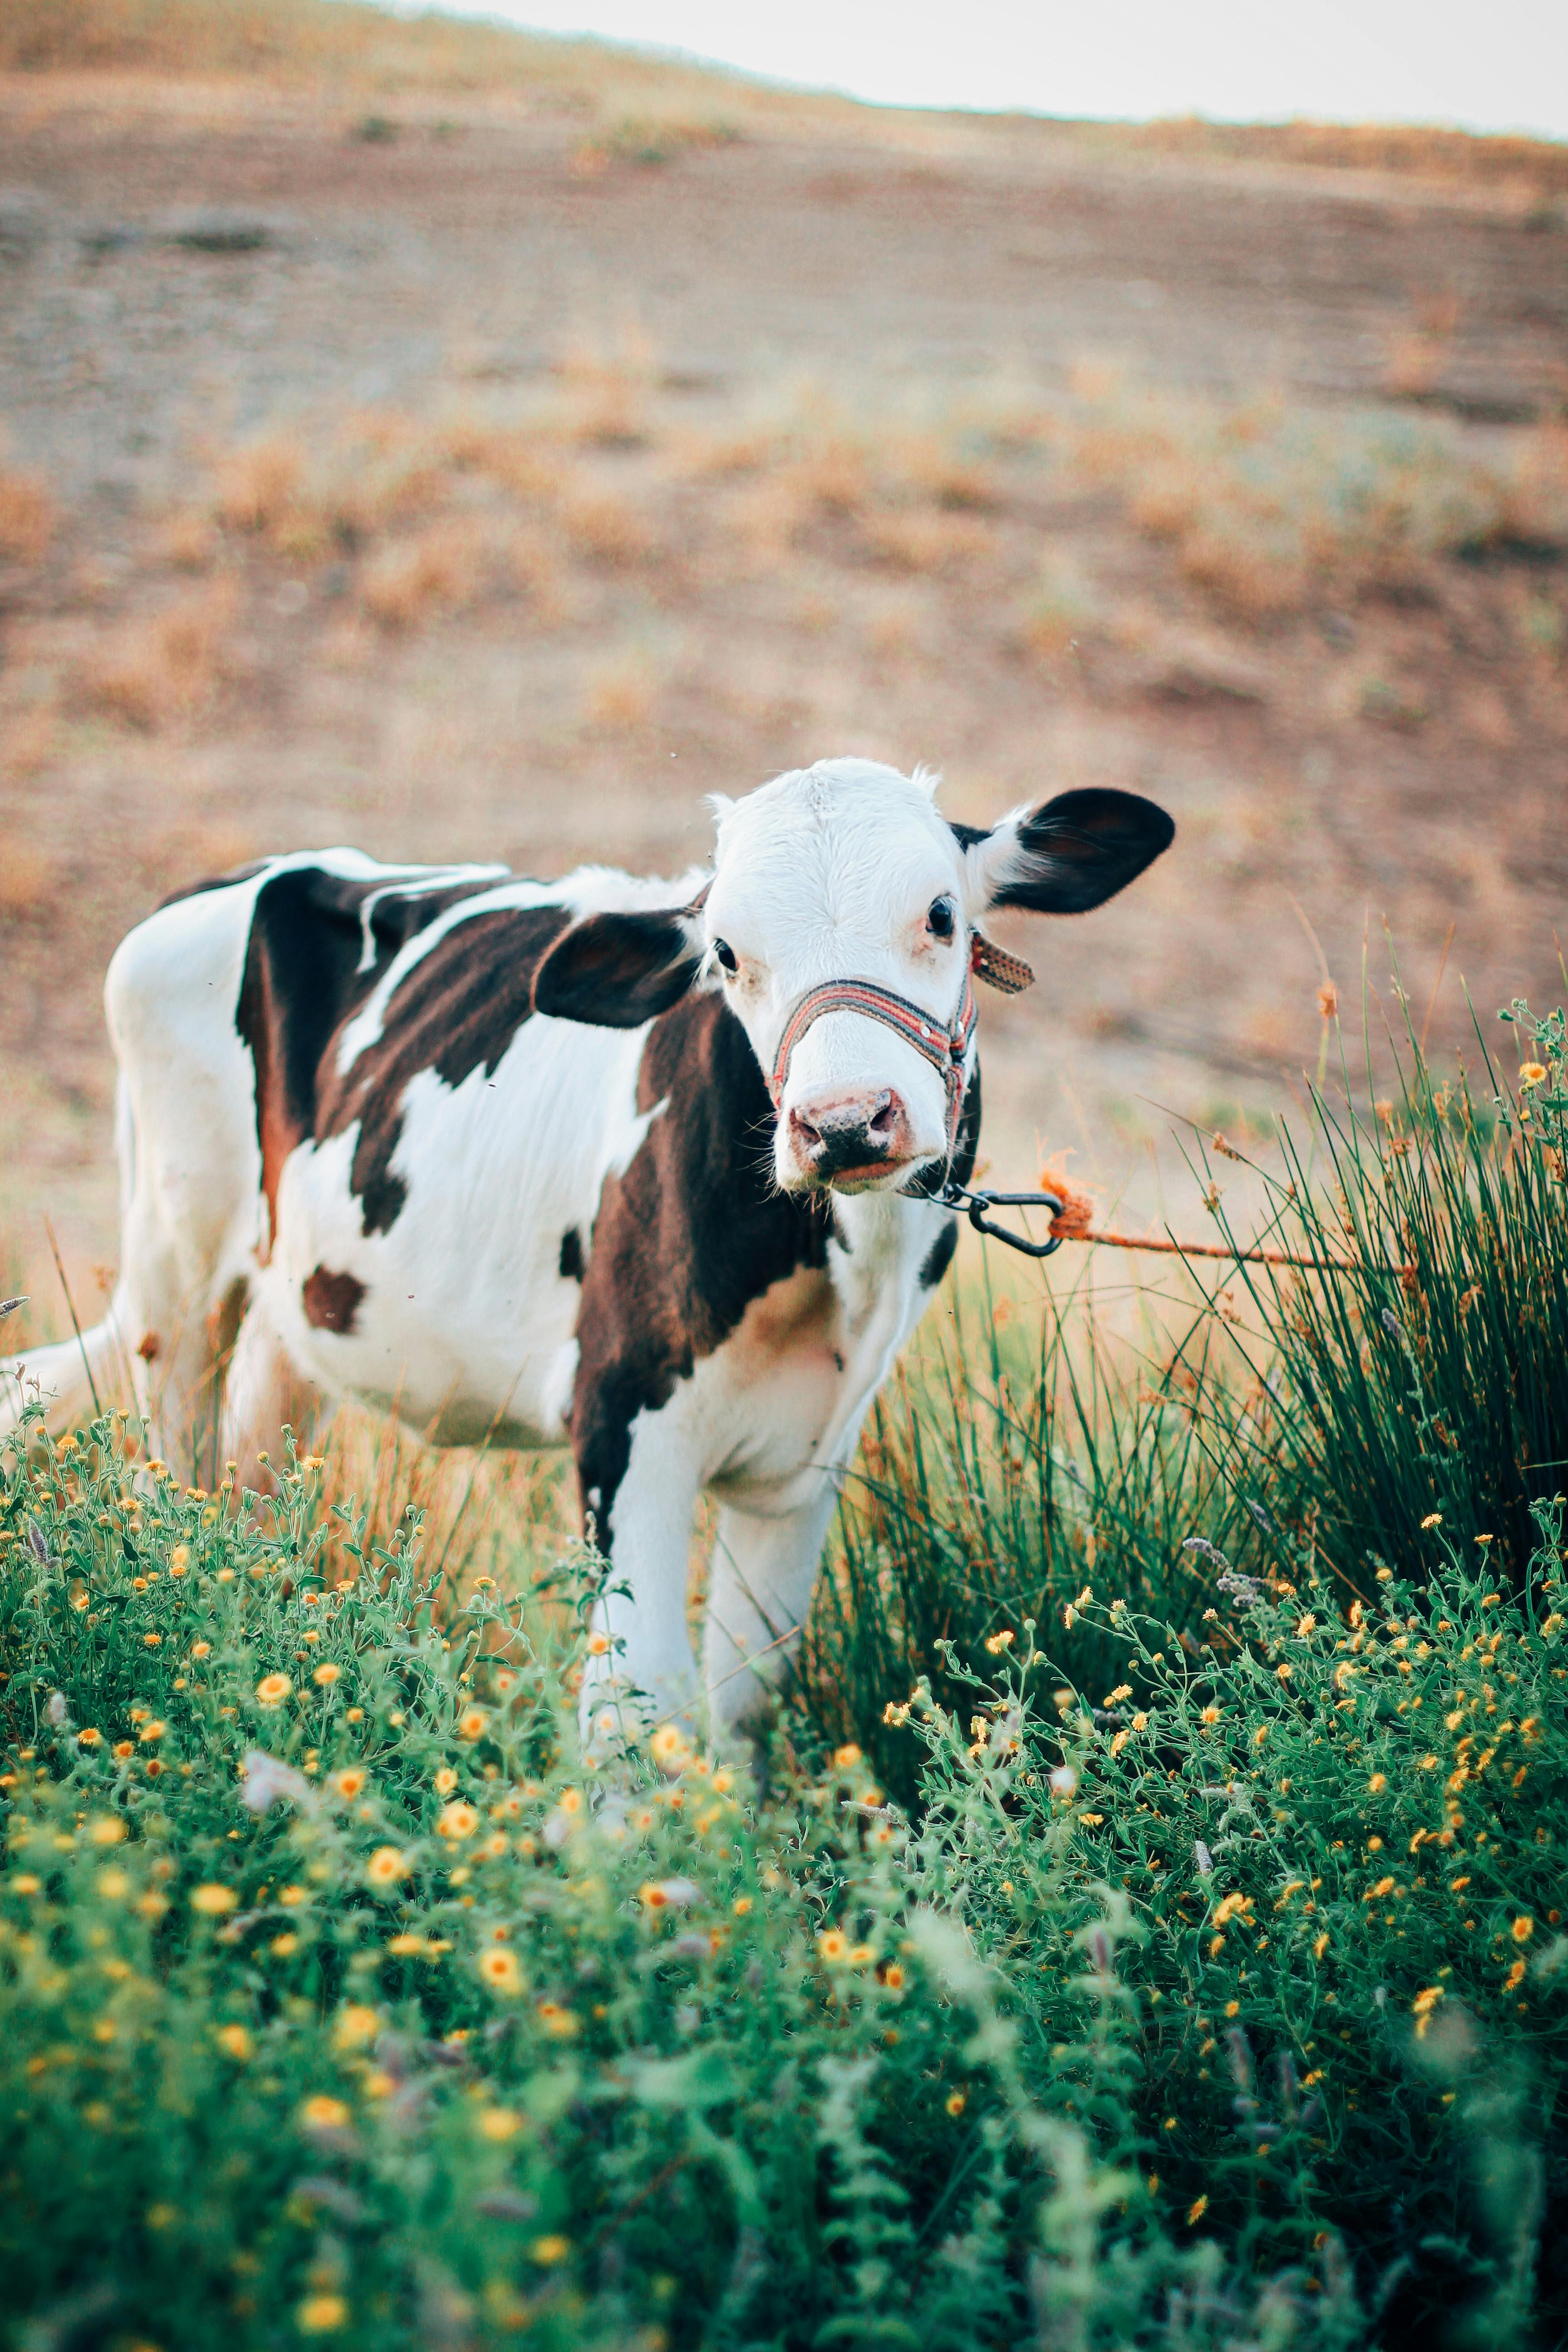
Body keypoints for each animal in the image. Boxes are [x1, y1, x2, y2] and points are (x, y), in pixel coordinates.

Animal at [0, 757, 1171, 1753]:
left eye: (940, 914)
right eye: (726, 956)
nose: (842, 1122)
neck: (842, 1275)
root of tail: (241, 875)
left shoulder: (805, 1465)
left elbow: (741, 1702)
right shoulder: (619, 1420)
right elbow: (635, 1706)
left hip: (298, 1311)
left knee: (237, 1477)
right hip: (178, 1269)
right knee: (174, 1482)